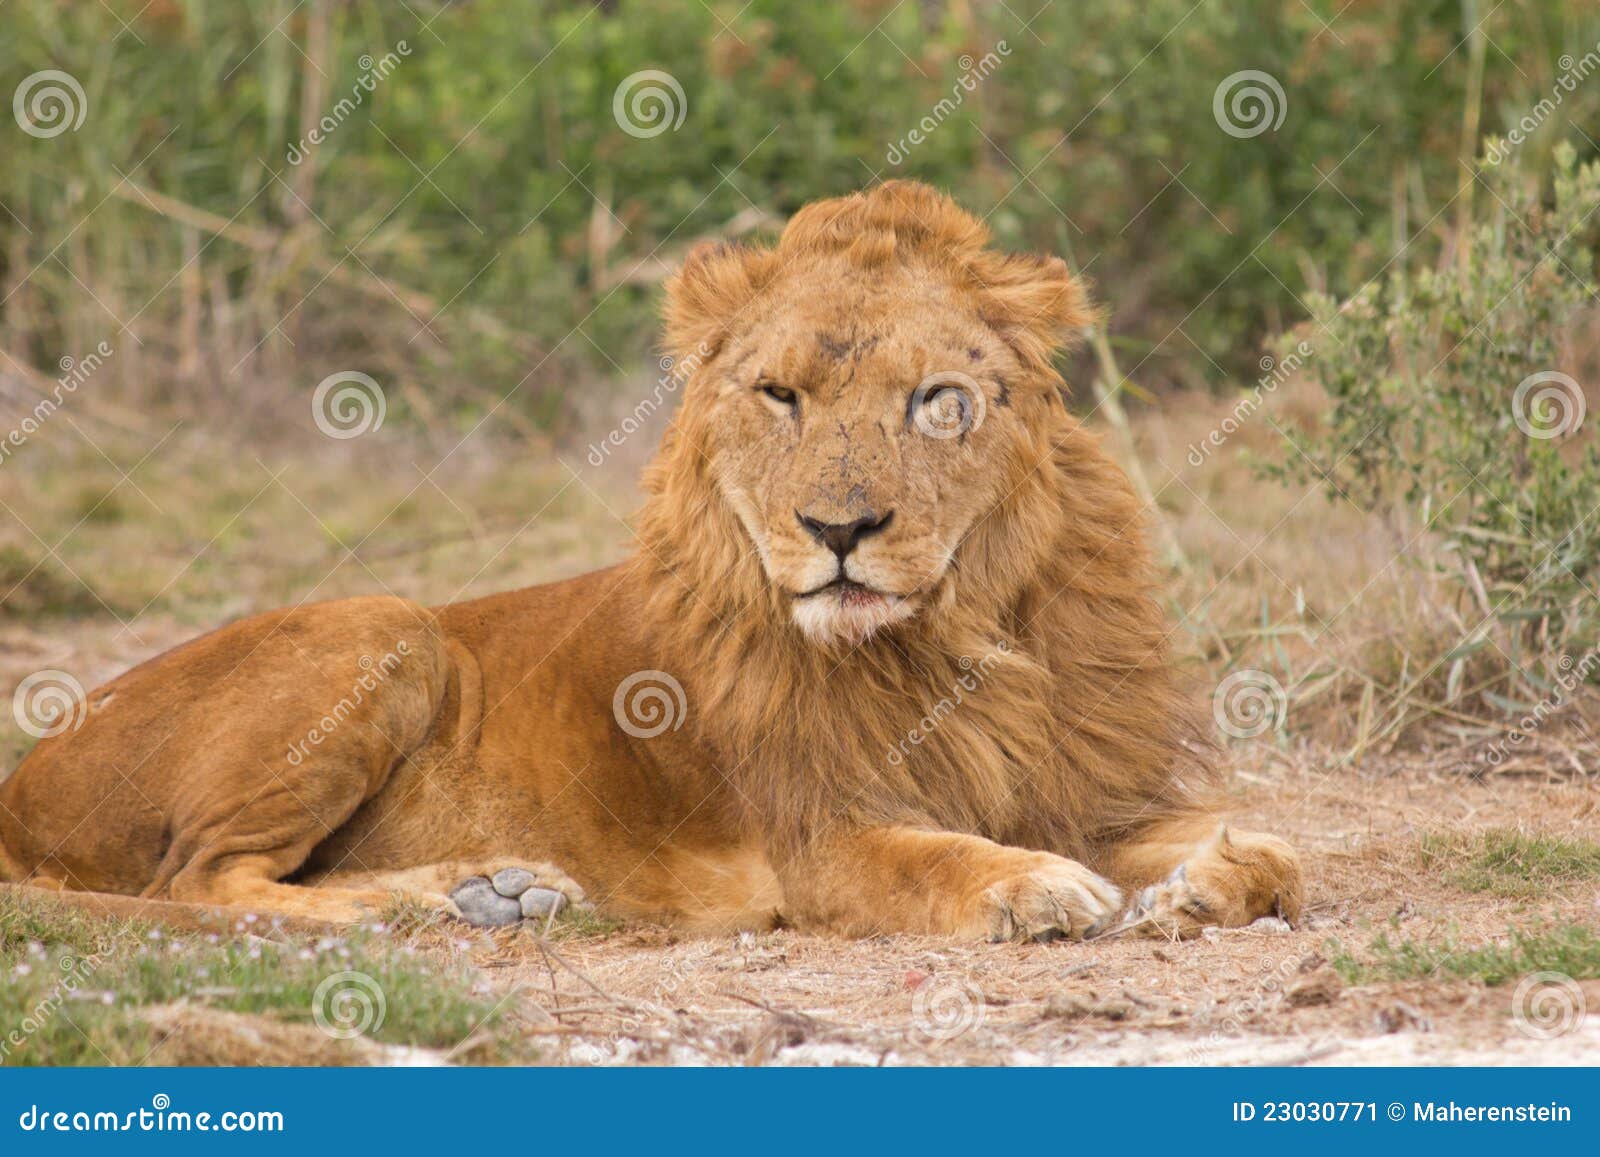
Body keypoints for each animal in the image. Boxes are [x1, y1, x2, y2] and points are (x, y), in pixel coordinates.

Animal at [0, 181, 1300, 941]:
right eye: (780, 394)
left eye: (937, 400)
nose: (838, 529)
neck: (960, 636)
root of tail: (23, 779)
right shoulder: (816, 840)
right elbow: (934, 857)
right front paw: (1029, 885)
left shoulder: (1095, 793)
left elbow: (1278, 847)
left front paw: (1206, 879)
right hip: (383, 622)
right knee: (196, 881)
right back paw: (443, 900)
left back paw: (496, 892)